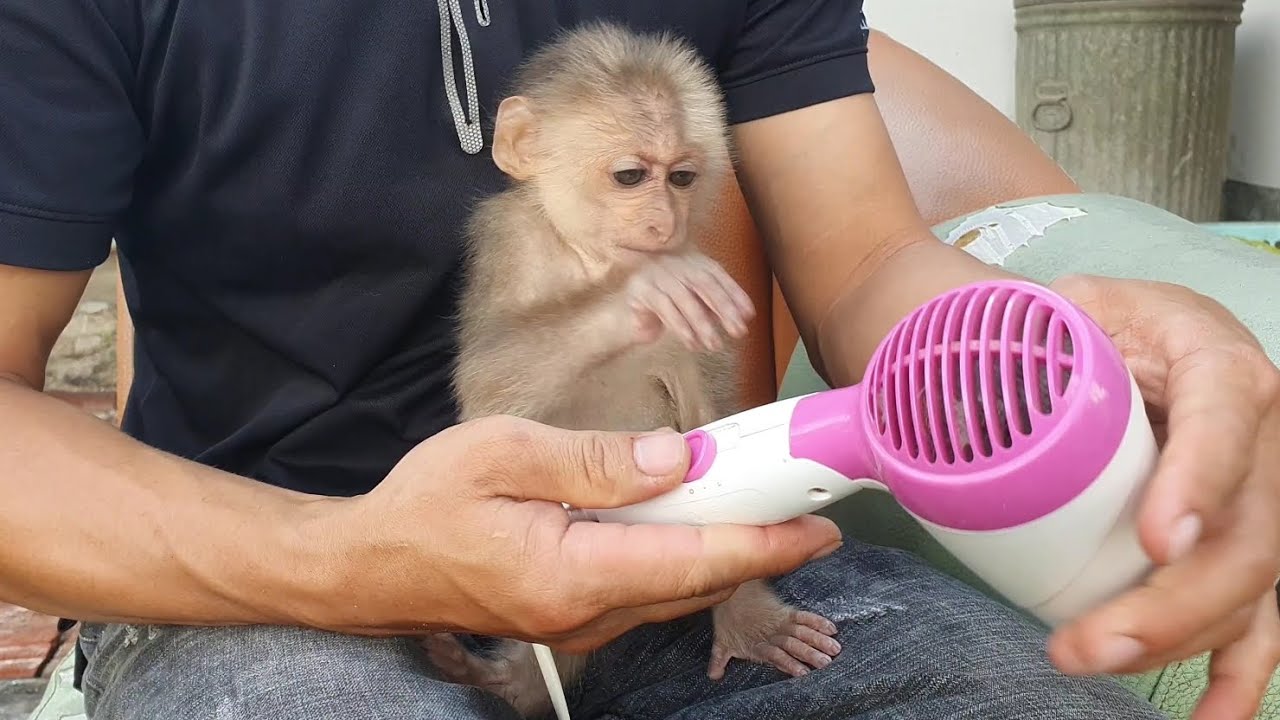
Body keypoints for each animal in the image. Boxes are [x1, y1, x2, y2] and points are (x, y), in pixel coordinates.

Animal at [422, 22, 842, 718]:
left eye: (681, 177)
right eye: (629, 176)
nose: (664, 220)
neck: (586, 260)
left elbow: (708, 413)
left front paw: (747, 613)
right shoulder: (511, 244)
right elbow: (485, 402)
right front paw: (639, 292)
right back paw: (510, 684)